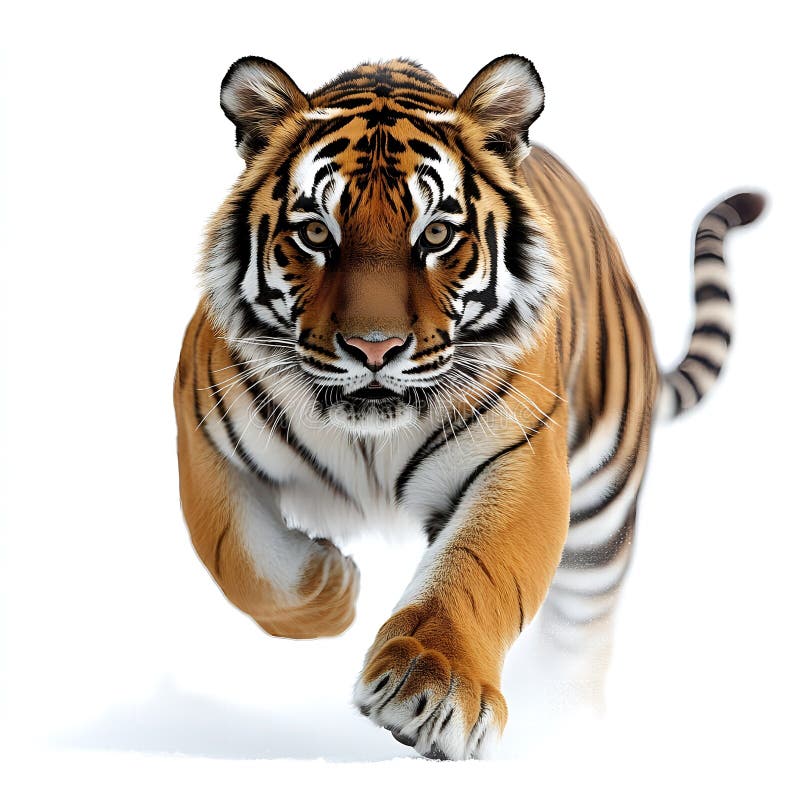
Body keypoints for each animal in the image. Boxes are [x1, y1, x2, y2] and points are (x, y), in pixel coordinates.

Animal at [174, 54, 764, 760]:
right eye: (315, 231)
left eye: (435, 235)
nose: (375, 348)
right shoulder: (203, 434)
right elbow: (242, 560)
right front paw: (331, 585)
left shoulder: (522, 458)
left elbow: (478, 568)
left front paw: (430, 687)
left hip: (601, 523)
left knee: (579, 640)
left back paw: (570, 725)